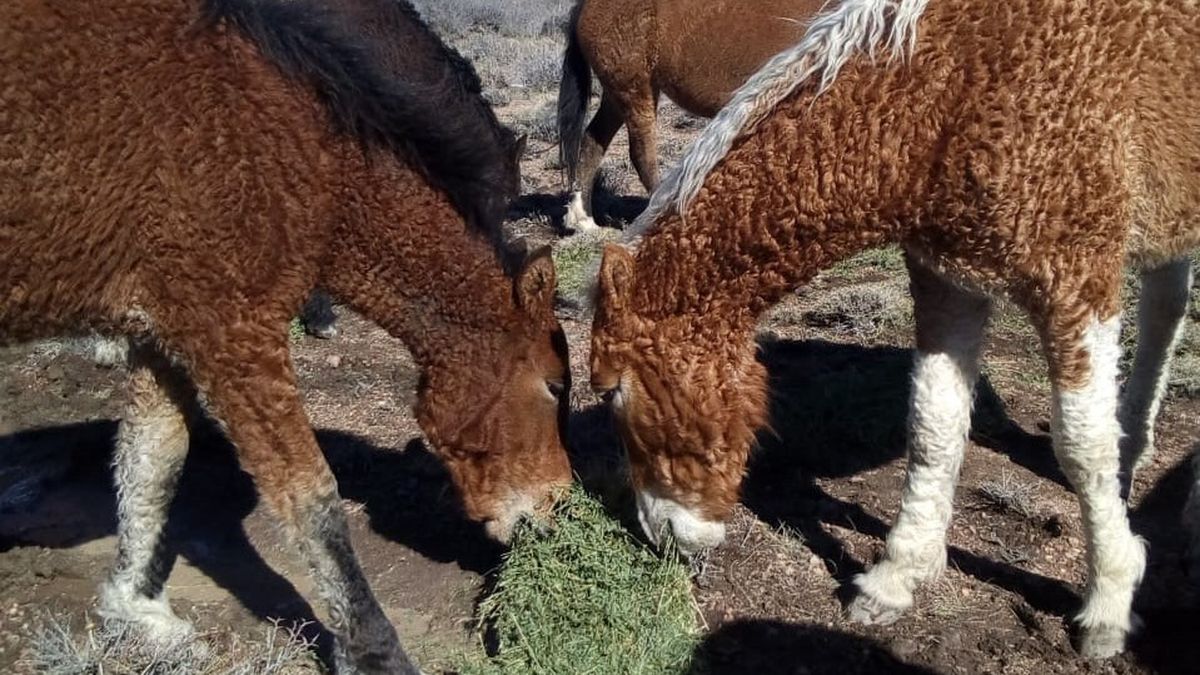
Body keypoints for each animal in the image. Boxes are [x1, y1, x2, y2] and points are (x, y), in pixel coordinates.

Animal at [0, 0, 568, 672]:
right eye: (555, 387)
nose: (558, 509)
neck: (299, 155)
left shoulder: (167, 331)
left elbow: (153, 457)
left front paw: (136, 608)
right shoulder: (234, 337)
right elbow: (311, 499)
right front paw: (374, 650)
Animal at [557, 0, 823, 230]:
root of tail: (586, 6)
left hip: (618, 95)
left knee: (593, 141)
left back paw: (584, 220)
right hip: (635, 91)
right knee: (642, 154)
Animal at [589, 0, 1198, 659]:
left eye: (615, 390)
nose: (662, 532)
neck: (950, 93)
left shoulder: (1076, 285)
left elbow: (1082, 446)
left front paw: (1110, 600)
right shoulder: (948, 283)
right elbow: (935, 424)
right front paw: (899, 575)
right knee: (1167, 304)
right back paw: (1135, 450)